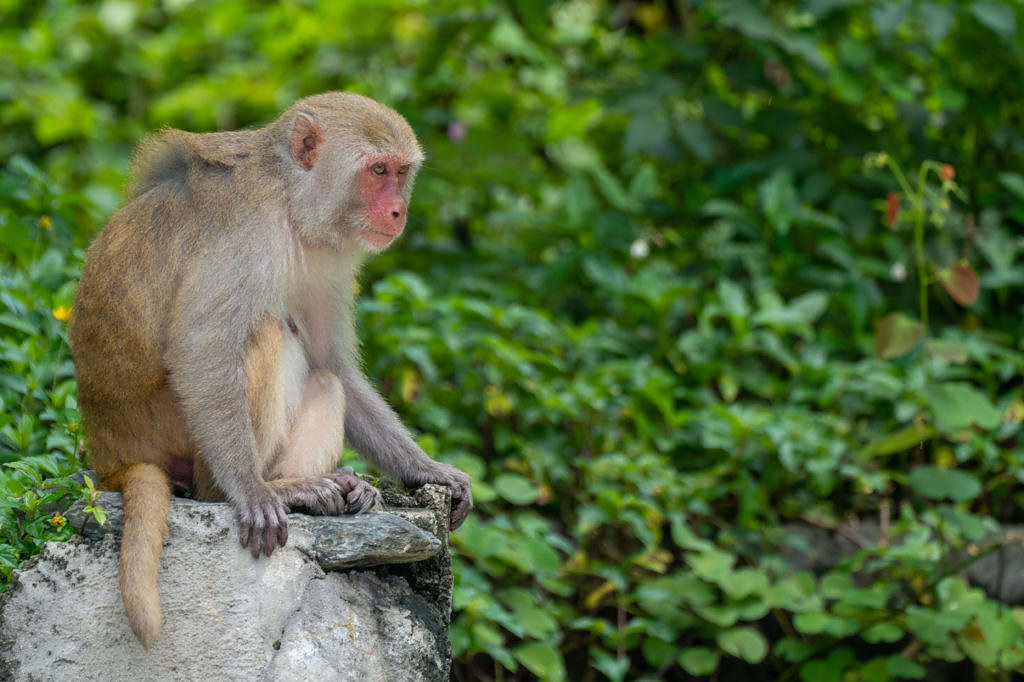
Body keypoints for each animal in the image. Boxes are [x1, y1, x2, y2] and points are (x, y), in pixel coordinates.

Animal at [68, 92, 473, 649]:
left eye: (400, 172)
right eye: (377, 170)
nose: (399, 210)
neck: (293, 202)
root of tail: (109, 453)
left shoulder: (330, 259)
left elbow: (330, 362)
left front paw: (427, 470)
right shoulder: (249, 233)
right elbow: (203, 345)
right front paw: (249, 489)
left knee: (323, 377)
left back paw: (319, 484)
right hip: (164, 423)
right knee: (262, 332)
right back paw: (262, 488)